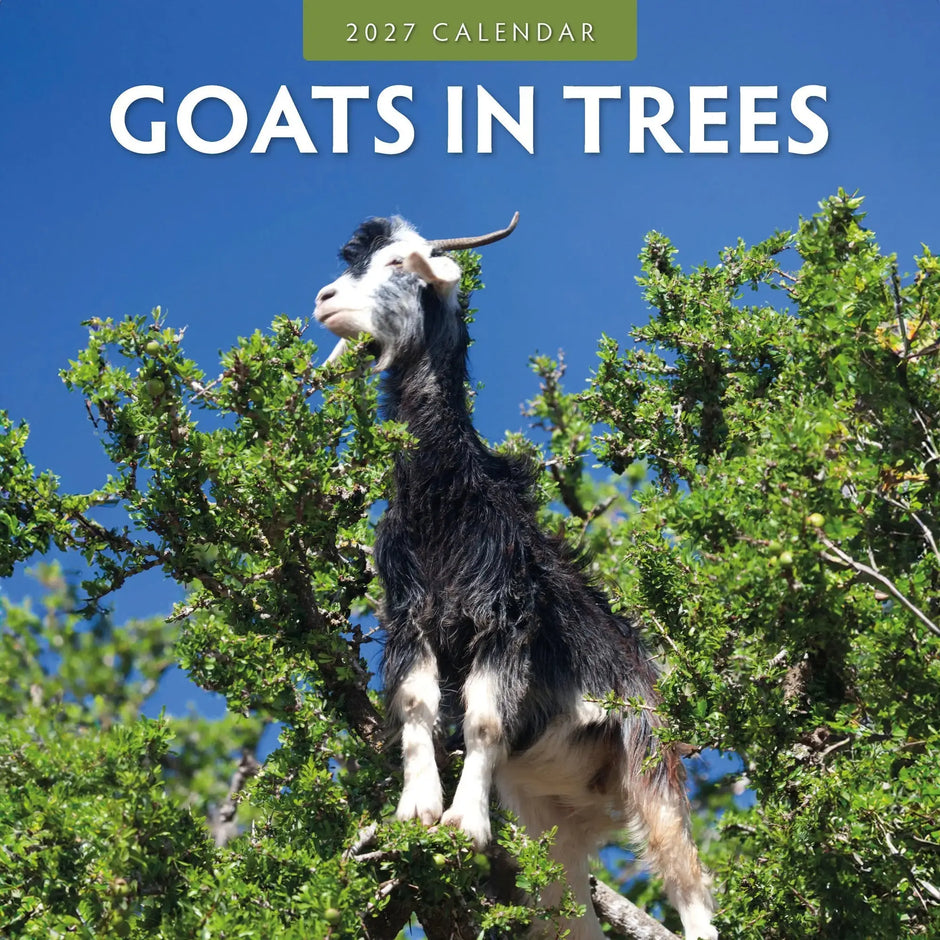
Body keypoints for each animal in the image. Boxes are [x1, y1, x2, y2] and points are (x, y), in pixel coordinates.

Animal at [314, 214, 717, 940]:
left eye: (397, 262)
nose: (324, 300)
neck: (445, 492)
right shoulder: (410, 616)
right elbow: (417, 708)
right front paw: (416, 811)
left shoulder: (503, 614)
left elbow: (482, 721)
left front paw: (464, 825)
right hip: (549, 818)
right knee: (568, 914)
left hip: (649, 758)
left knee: (691, 886)